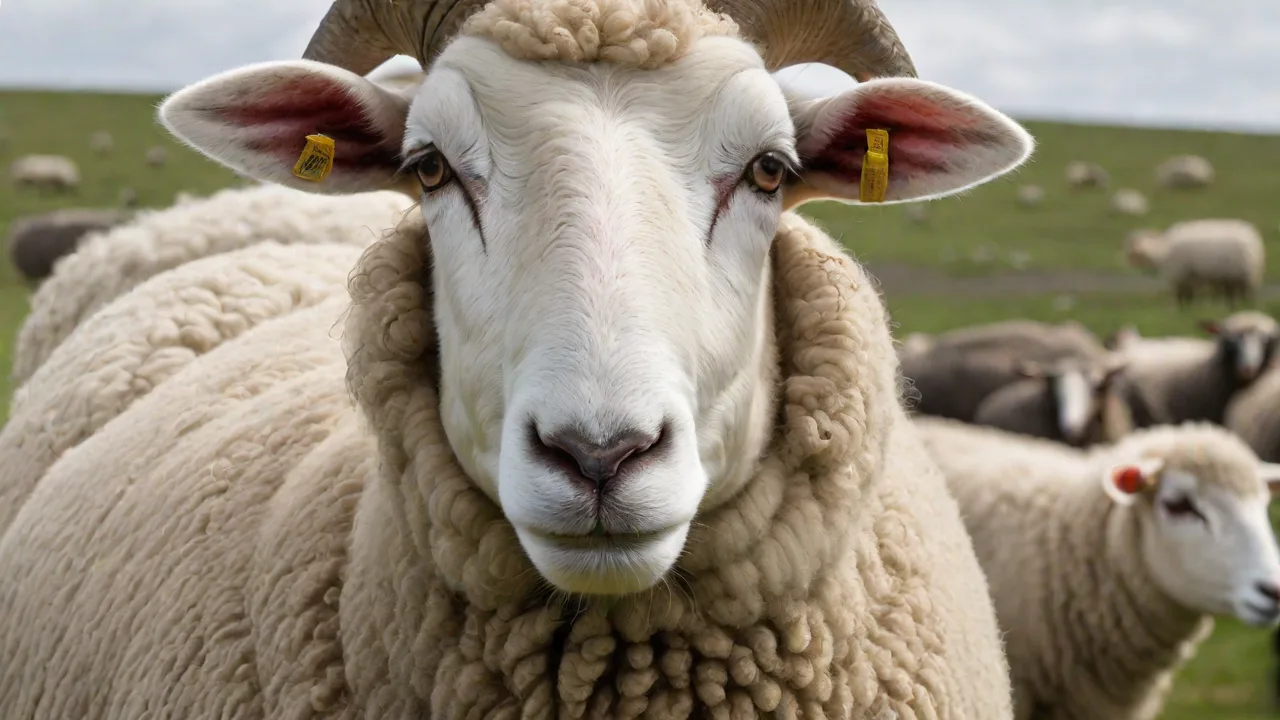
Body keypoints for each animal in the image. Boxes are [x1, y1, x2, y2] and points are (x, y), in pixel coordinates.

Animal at [1125, 219, 1265, 309]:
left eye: (1132, 246)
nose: (1127, 262)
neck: (1161, 251)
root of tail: (1255, 240)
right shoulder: (1191, 278)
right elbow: (1190, 297)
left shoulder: (1178, 277)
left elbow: (1179, 298)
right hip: (1243, 277)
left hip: (1246, 276)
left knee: (1249, 296)